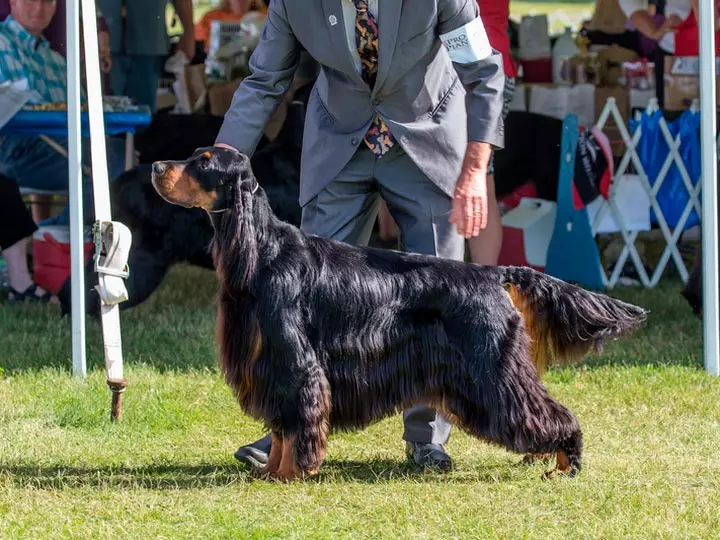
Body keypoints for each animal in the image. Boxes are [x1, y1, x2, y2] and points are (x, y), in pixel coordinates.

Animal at [150, 147, 648, 480]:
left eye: (204, 162)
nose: (155, 166)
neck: (262, 250)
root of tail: (492, 272)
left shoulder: (297, 363)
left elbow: (297, 426)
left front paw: (291, 475)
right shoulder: (271, 366)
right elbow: (282, 426)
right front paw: (272, 471)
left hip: (491, 369)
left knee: (554, 414)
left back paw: (565, 464)